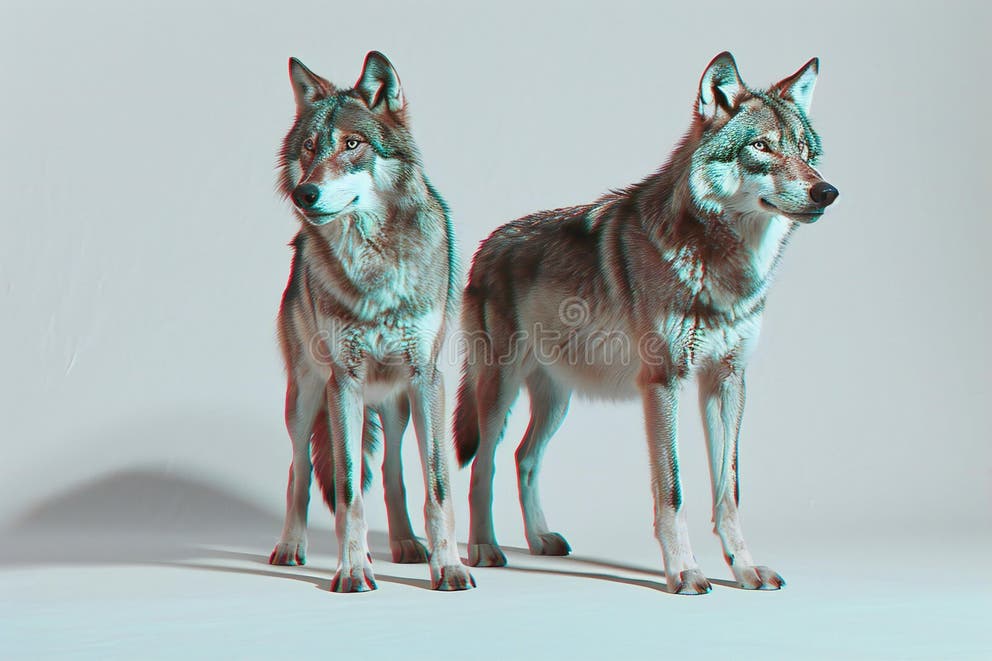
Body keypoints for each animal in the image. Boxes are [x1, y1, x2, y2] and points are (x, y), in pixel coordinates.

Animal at [267, 52, 474, 592]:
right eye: (310, 148)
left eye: (352, 144)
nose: (305, 194)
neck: (375, 266)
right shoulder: (345, 382)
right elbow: (346, 492)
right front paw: (353, 569)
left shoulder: (428, 379)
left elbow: (437, 488)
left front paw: (448, 566)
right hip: (306, 398)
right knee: (298, 472)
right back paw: (292, 546)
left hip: (397, 403)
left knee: (394, 473)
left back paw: (405, 545)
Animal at [453, 52, 838, 594]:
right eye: (761, 147)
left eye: (803, 150)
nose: (827, 191)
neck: (724, 269)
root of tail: (487, 246)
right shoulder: (663, 383)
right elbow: (672, 489)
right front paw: (684, 571)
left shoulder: (728, 381)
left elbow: (729, 490)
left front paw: (744, 569)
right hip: (499, 392)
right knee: (482, 466)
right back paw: (484, 549)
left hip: (557, 399)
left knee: (523, 459)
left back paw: (540, 539)